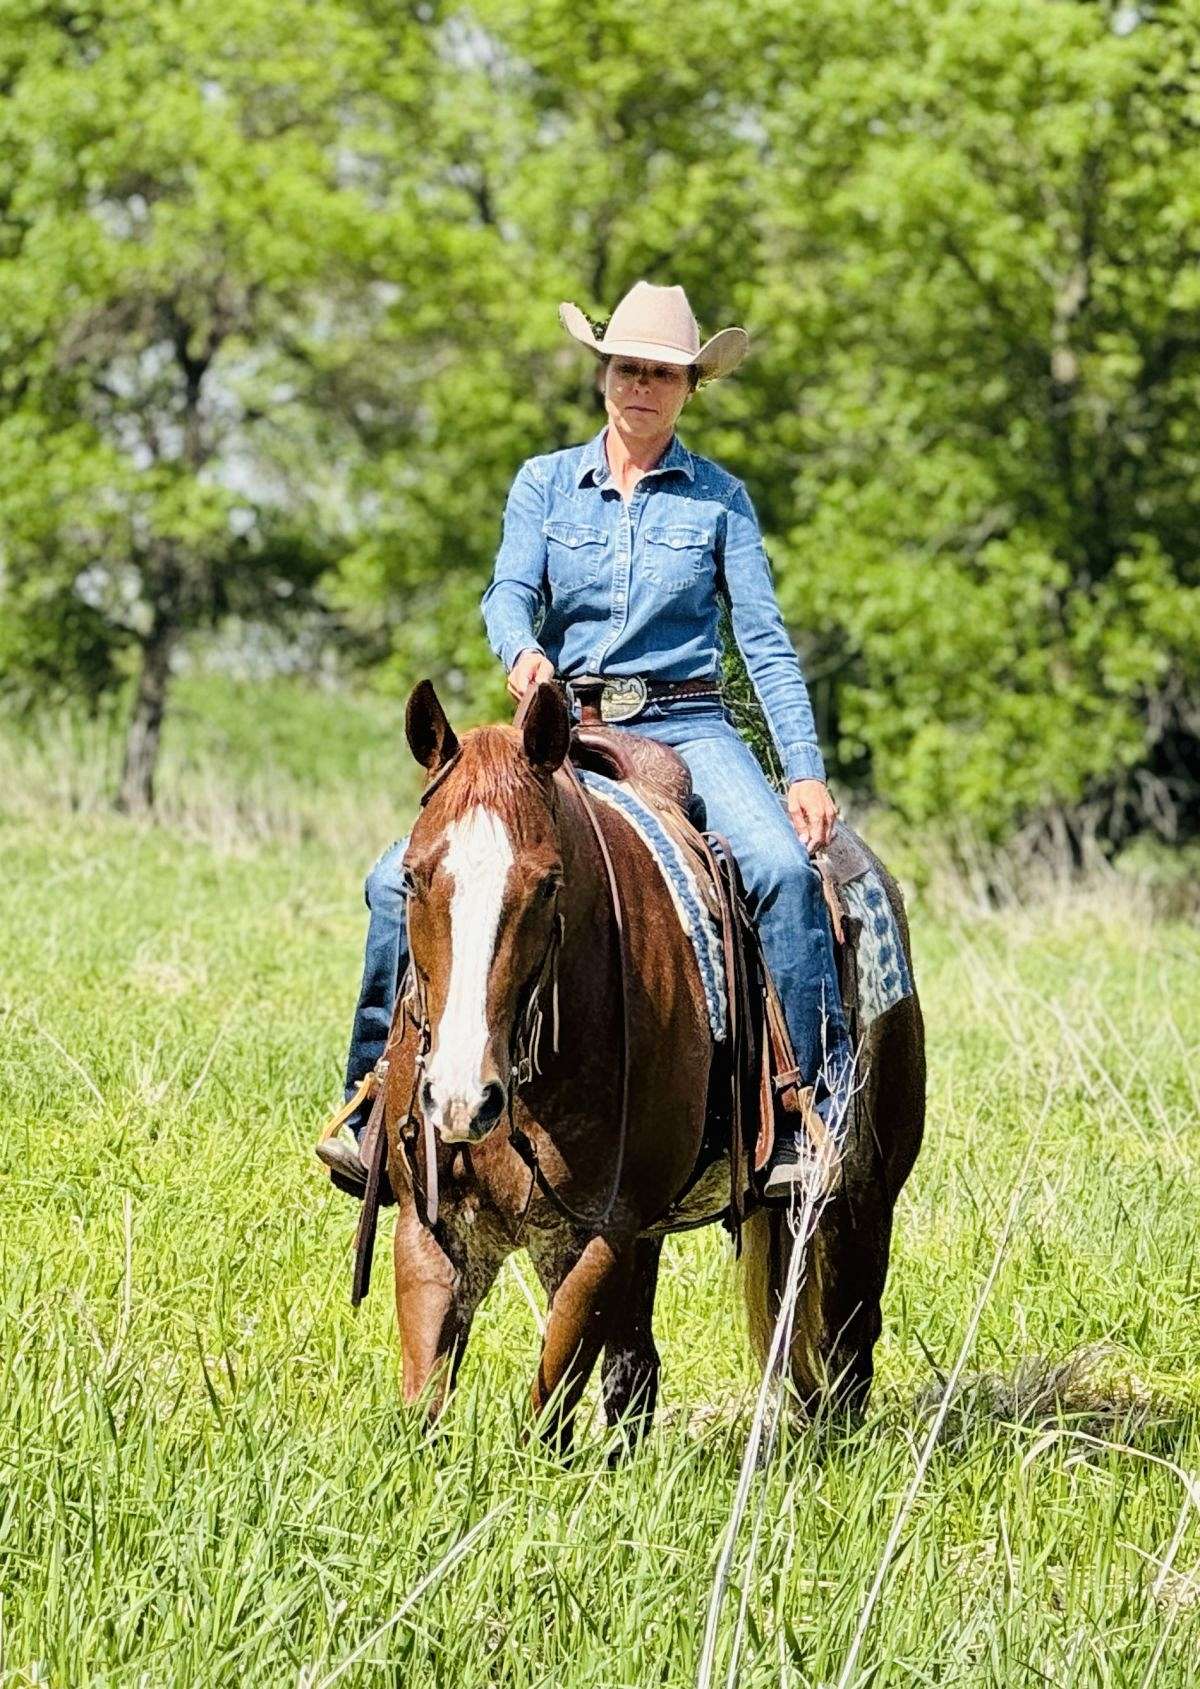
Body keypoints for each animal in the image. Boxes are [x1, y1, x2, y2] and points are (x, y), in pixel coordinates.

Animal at [373, 678, 925, 1452]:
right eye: (413, 875)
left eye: (547, 883)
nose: (461, 1099)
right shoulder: (432, 1230)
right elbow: (426, 1411)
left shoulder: (603, 1237)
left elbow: (546, 1412)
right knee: (648, 1368)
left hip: (864, 1194)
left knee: (849, 1342)